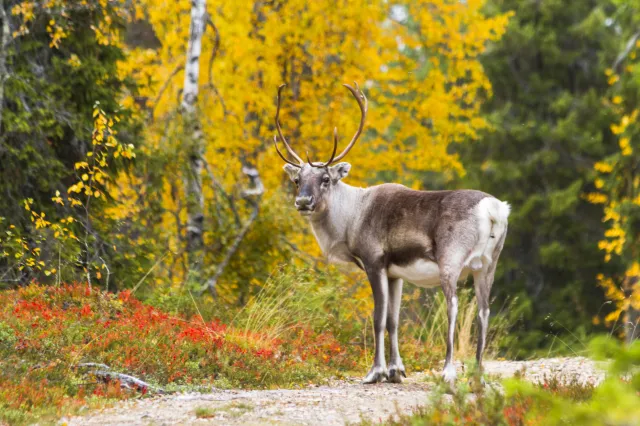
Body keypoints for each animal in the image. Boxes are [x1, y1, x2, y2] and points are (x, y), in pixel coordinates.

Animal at [273, 82, 510, 385]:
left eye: (325, 179)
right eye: (297, 180)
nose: (303, 202)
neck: (351, 217)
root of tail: (494, 209)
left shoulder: (374, 262)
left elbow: (378, 318)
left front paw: (376, 372)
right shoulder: (396, 273)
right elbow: (394, 320)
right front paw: (397, 370)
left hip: (451, 260)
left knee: (453, 306)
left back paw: (447, 371)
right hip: (489, 264)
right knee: (483, 311)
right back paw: (477, 375)